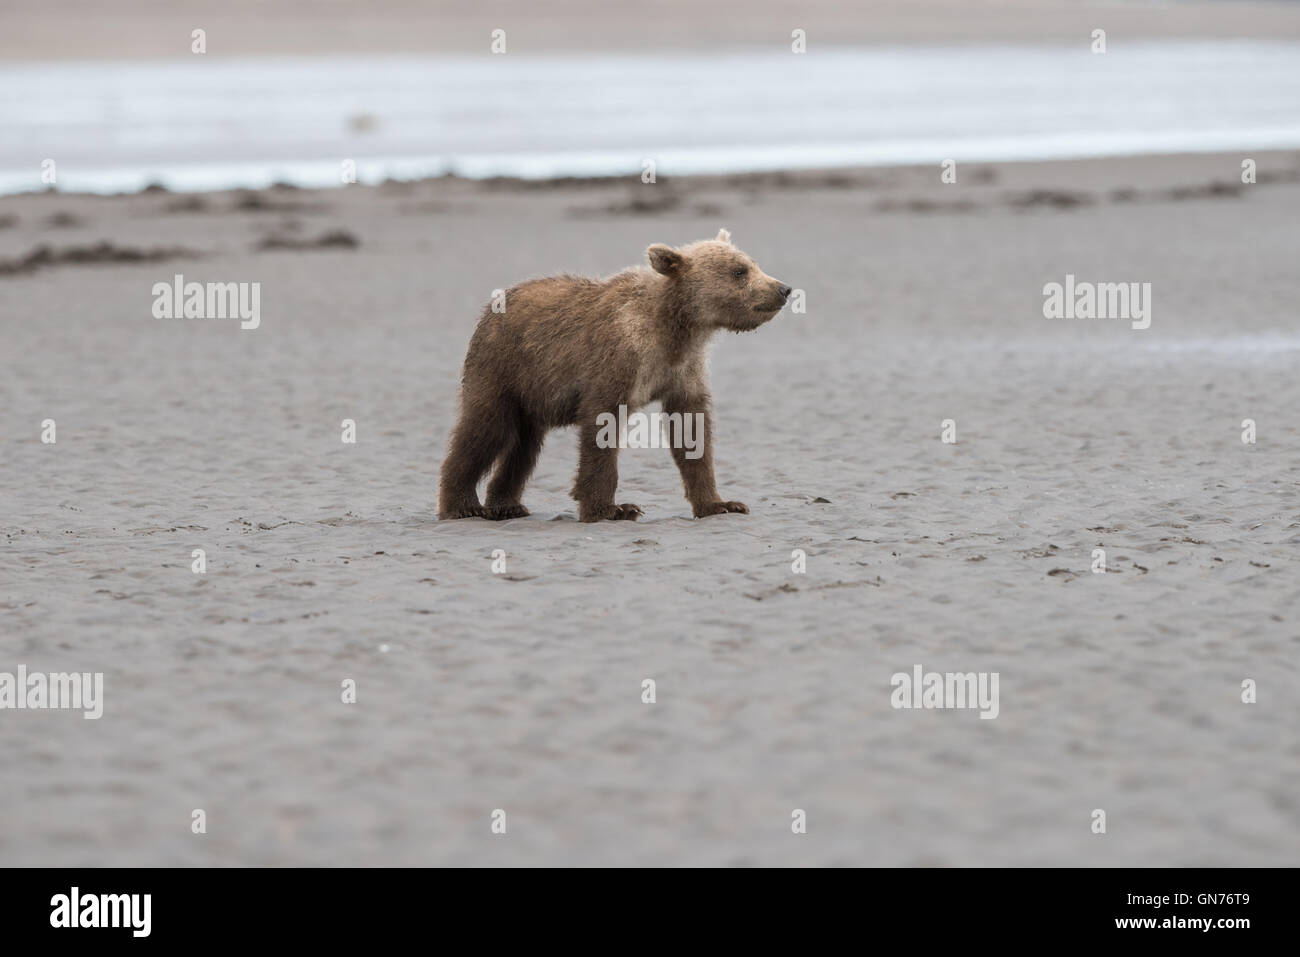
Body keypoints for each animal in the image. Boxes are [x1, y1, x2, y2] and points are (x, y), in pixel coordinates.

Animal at [437, 229, 791, 522]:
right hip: (501, 367)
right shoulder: (617, 359)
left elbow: (692, 431)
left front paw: (721, 504)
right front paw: (612, 508)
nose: (783, 288)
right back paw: (462, 505)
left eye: (751, 263)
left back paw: (507, 505)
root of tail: (492, 306)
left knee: (524, 445)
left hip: (531, 392)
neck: (675, 328)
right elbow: (601, 427)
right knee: (485, 429)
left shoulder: (684, 370)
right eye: (739, 271)